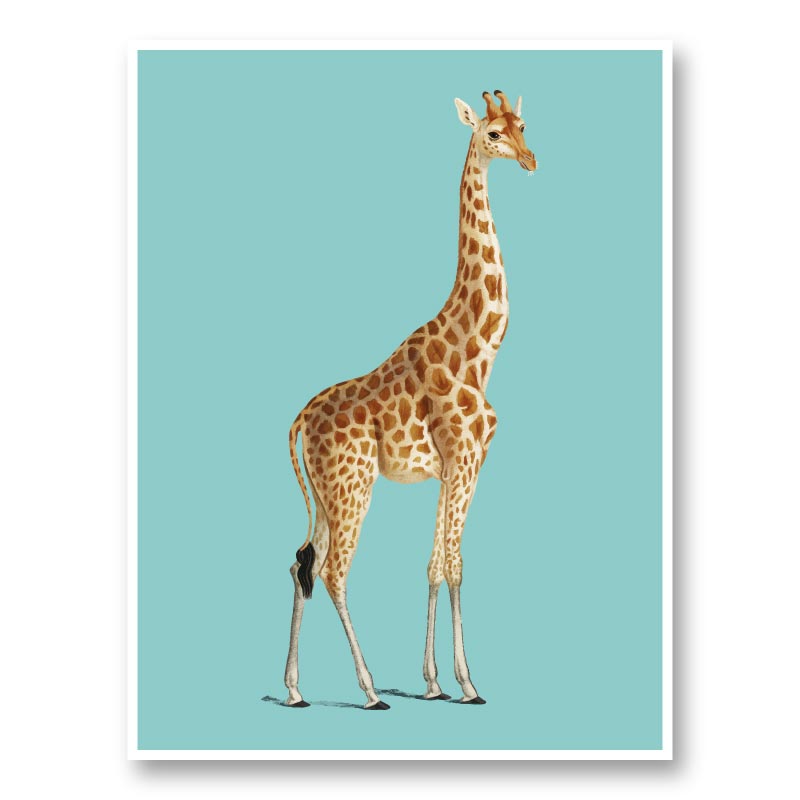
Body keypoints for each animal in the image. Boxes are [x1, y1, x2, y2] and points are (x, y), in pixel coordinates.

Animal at [283, 89, 536, 710]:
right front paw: (468, 684)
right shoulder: (465, 460)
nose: (530, 160)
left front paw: (434, 682)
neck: (479, 349)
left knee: (302, 563)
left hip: (326, 494)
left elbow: (434, 565)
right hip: (352, 487)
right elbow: (457, 564)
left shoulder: (452, 468)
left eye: (524, 126)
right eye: (493, 133)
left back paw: (295, 689)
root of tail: (300, 420)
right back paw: (371, 691)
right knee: (333, 572)